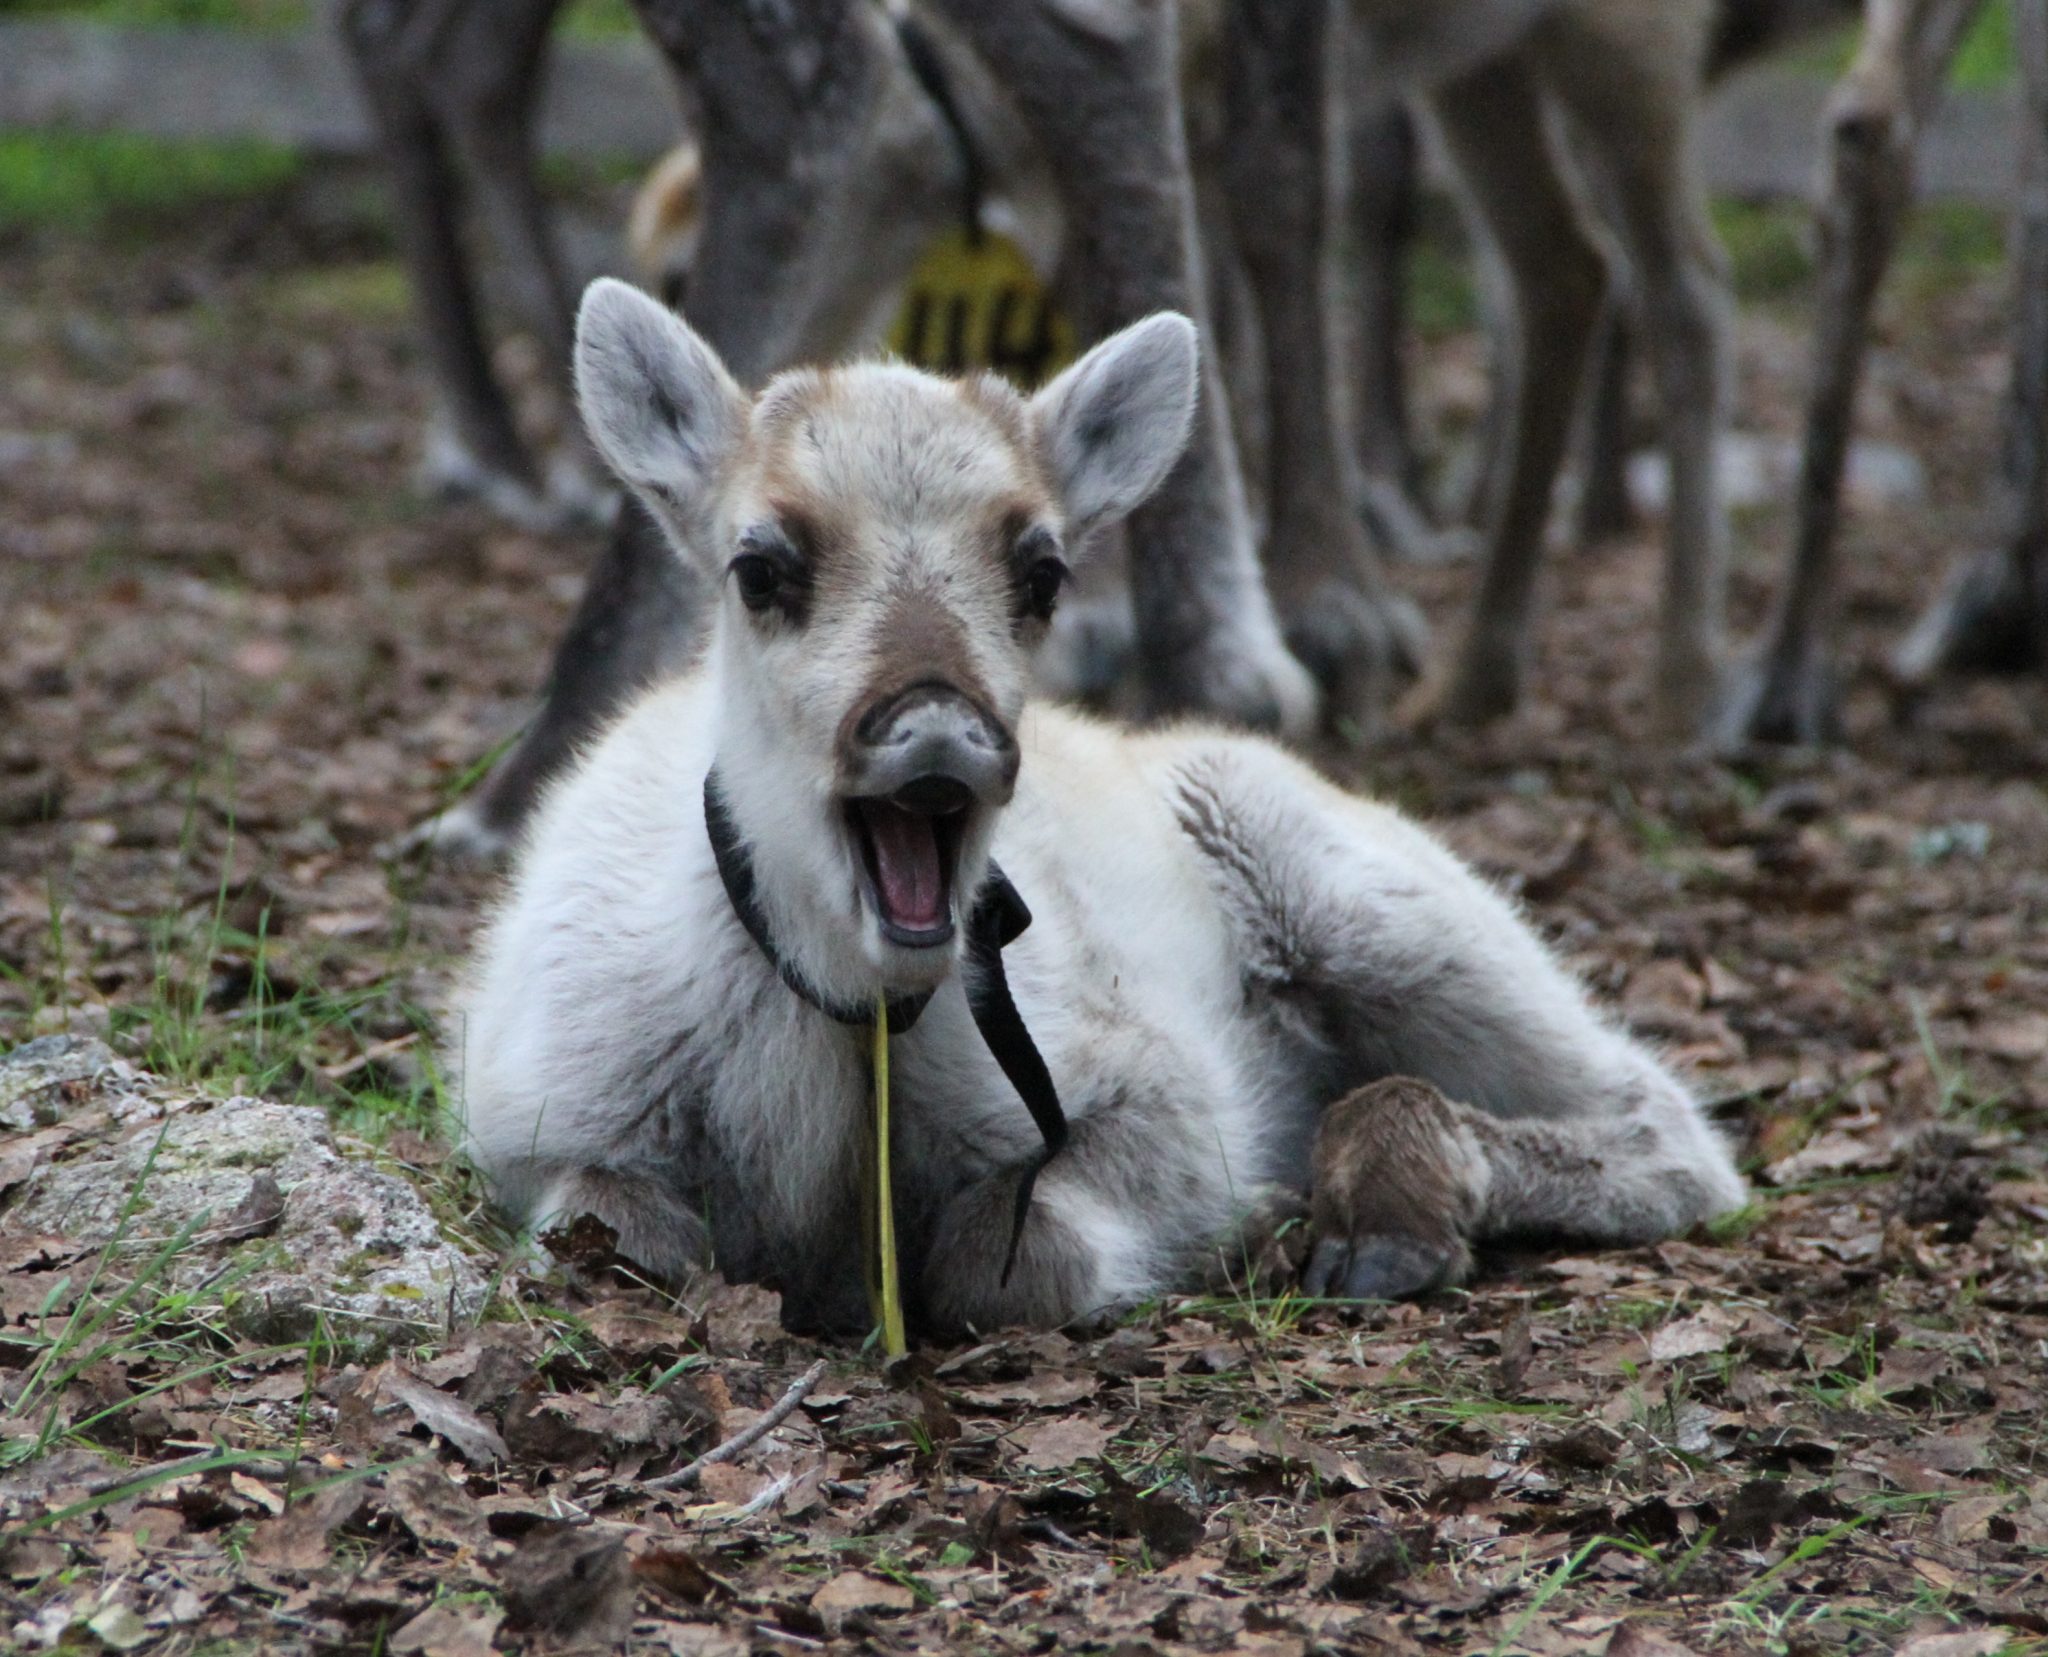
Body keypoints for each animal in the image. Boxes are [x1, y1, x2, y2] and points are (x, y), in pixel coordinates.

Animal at [449, 279, 1745, 1333]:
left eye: (1042, 570)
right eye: (759, 564)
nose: (937, 730)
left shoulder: (1159, 1090)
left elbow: (1004, 1257)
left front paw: (1237, 1219)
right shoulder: (536, 1125)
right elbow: (621, 1238)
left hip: (1379, 904)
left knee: (1668, 1124)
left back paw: (1380, 1209)